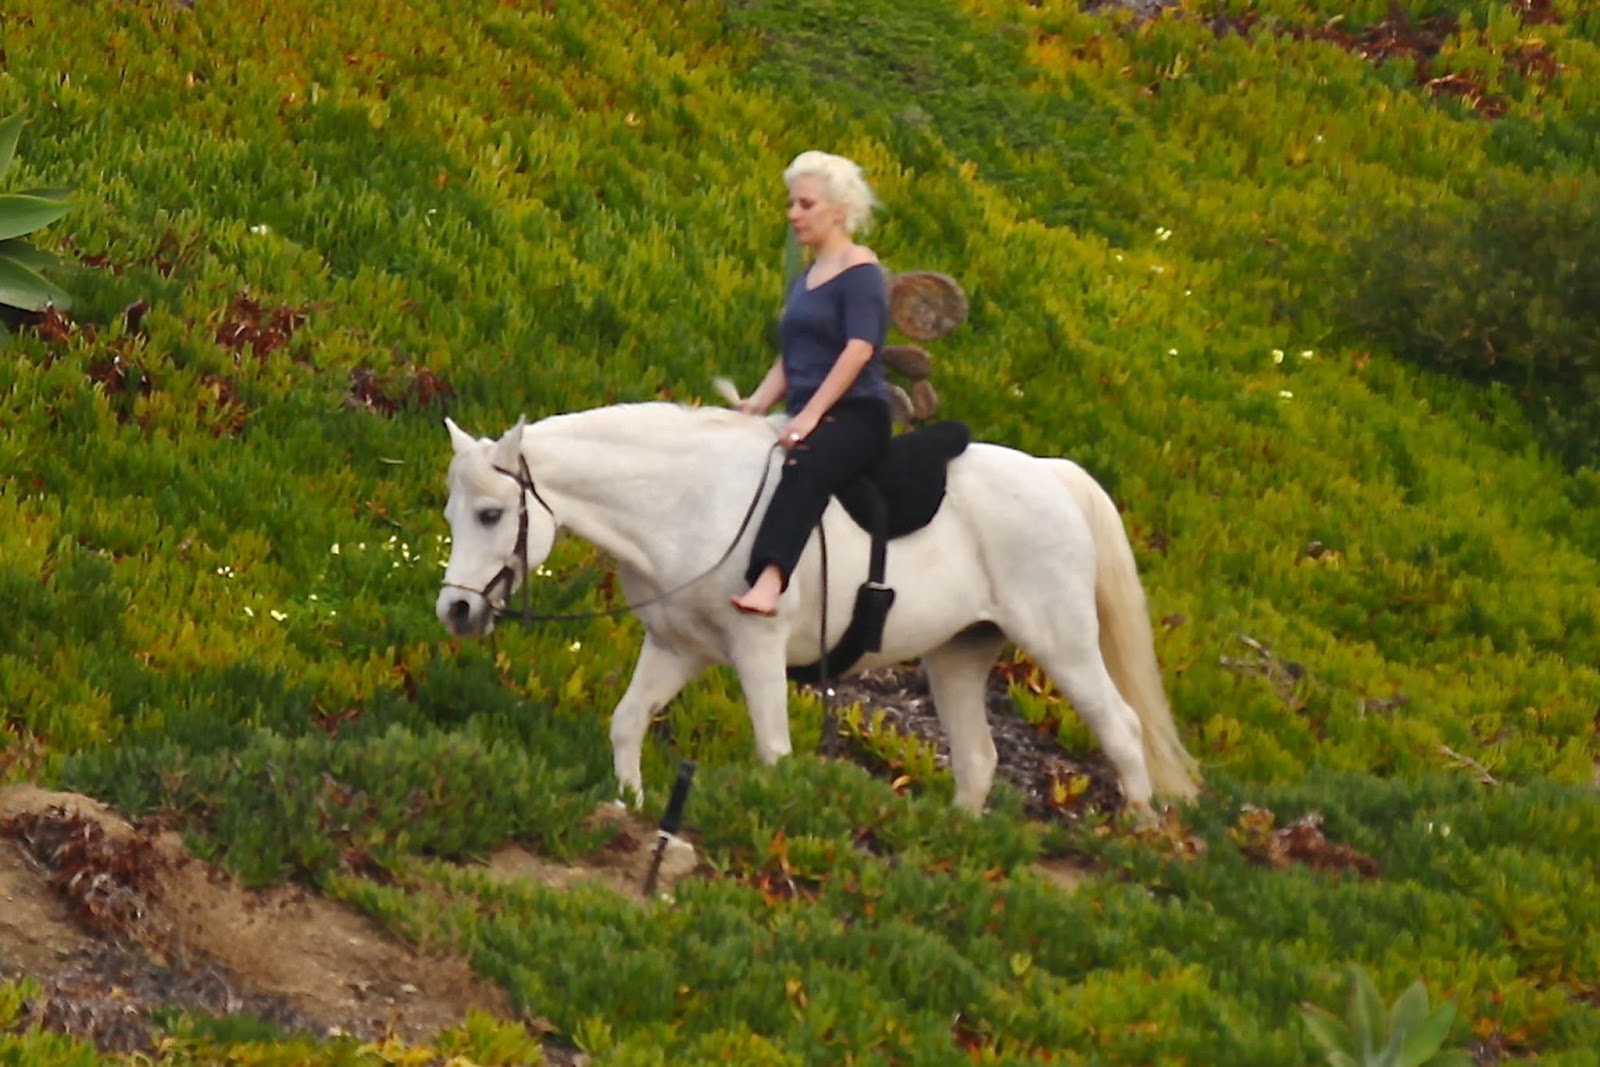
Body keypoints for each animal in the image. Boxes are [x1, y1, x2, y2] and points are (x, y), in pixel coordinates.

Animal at [434, 402, 1199, 815]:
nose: (457, 612)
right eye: (452, 514)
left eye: (492, 513)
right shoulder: (679, 646)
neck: (688, 502)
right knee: (978, 760)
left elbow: (773, 750)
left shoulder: (758, 649)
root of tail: (1055, 477)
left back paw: (1137, 833)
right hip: (958, 654)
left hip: (1061, 643)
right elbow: (627, 722)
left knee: (1123, 729)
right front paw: (631, 804)